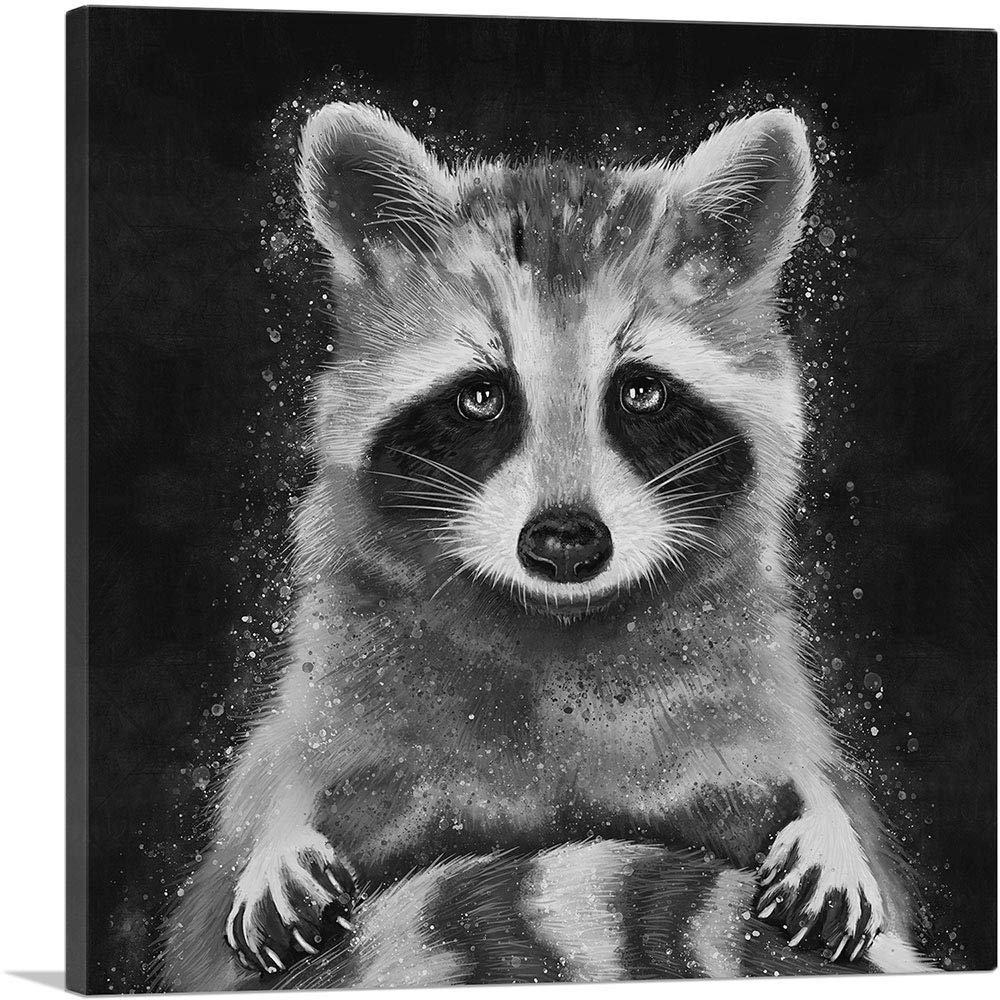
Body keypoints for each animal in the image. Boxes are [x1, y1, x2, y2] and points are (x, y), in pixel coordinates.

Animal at [161, 103, 923, 992]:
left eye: (641, 391)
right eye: (482, 397)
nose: (565, 541)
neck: (556, 627)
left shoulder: (745, 695)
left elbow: (824, 786)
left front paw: (827, 817)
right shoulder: (338, 696)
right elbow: (246, 836)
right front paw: (278, 828)